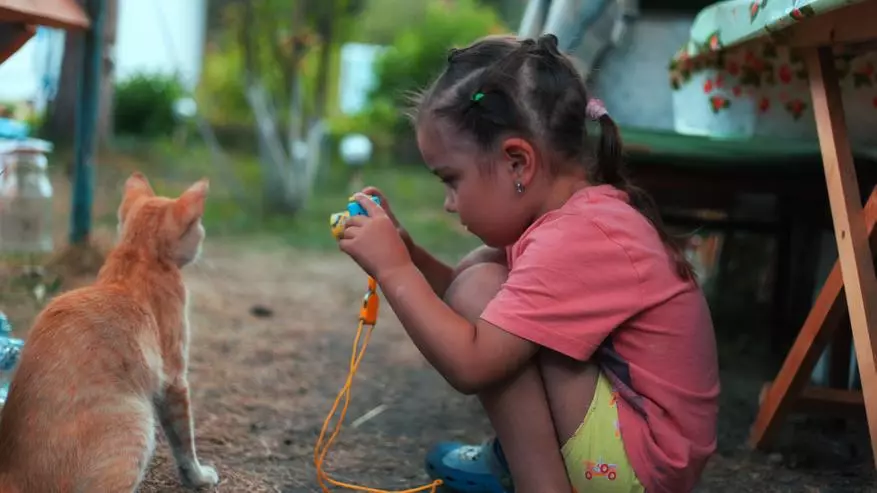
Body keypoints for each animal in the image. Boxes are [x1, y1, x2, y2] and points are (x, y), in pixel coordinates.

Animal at [0, 173, 221, 492]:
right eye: (199, 227)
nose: (202, 238)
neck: (136, 256)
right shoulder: (174, 378)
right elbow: (184, 439)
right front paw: (198, 476)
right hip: (138, 423)